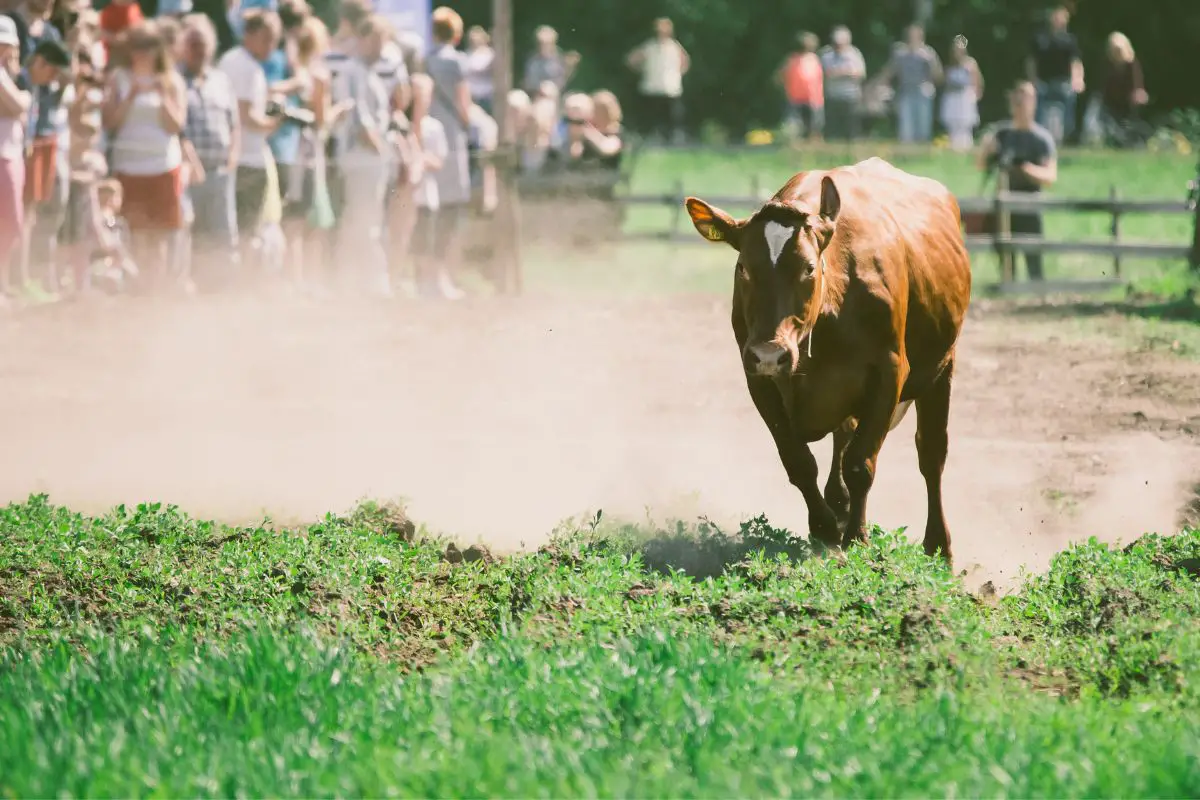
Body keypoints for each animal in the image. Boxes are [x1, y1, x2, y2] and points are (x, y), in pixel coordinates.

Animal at [684, 157, 971, 564]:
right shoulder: (758, 377)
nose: (770, 353)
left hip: (942, 366)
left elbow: (861, 462)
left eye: (807, 267)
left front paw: (857, 539)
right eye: (743, 268)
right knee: (844, 437)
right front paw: (824, 529)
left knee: (931, 454)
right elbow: (799, 461)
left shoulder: (889, 372)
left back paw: (938, 546)